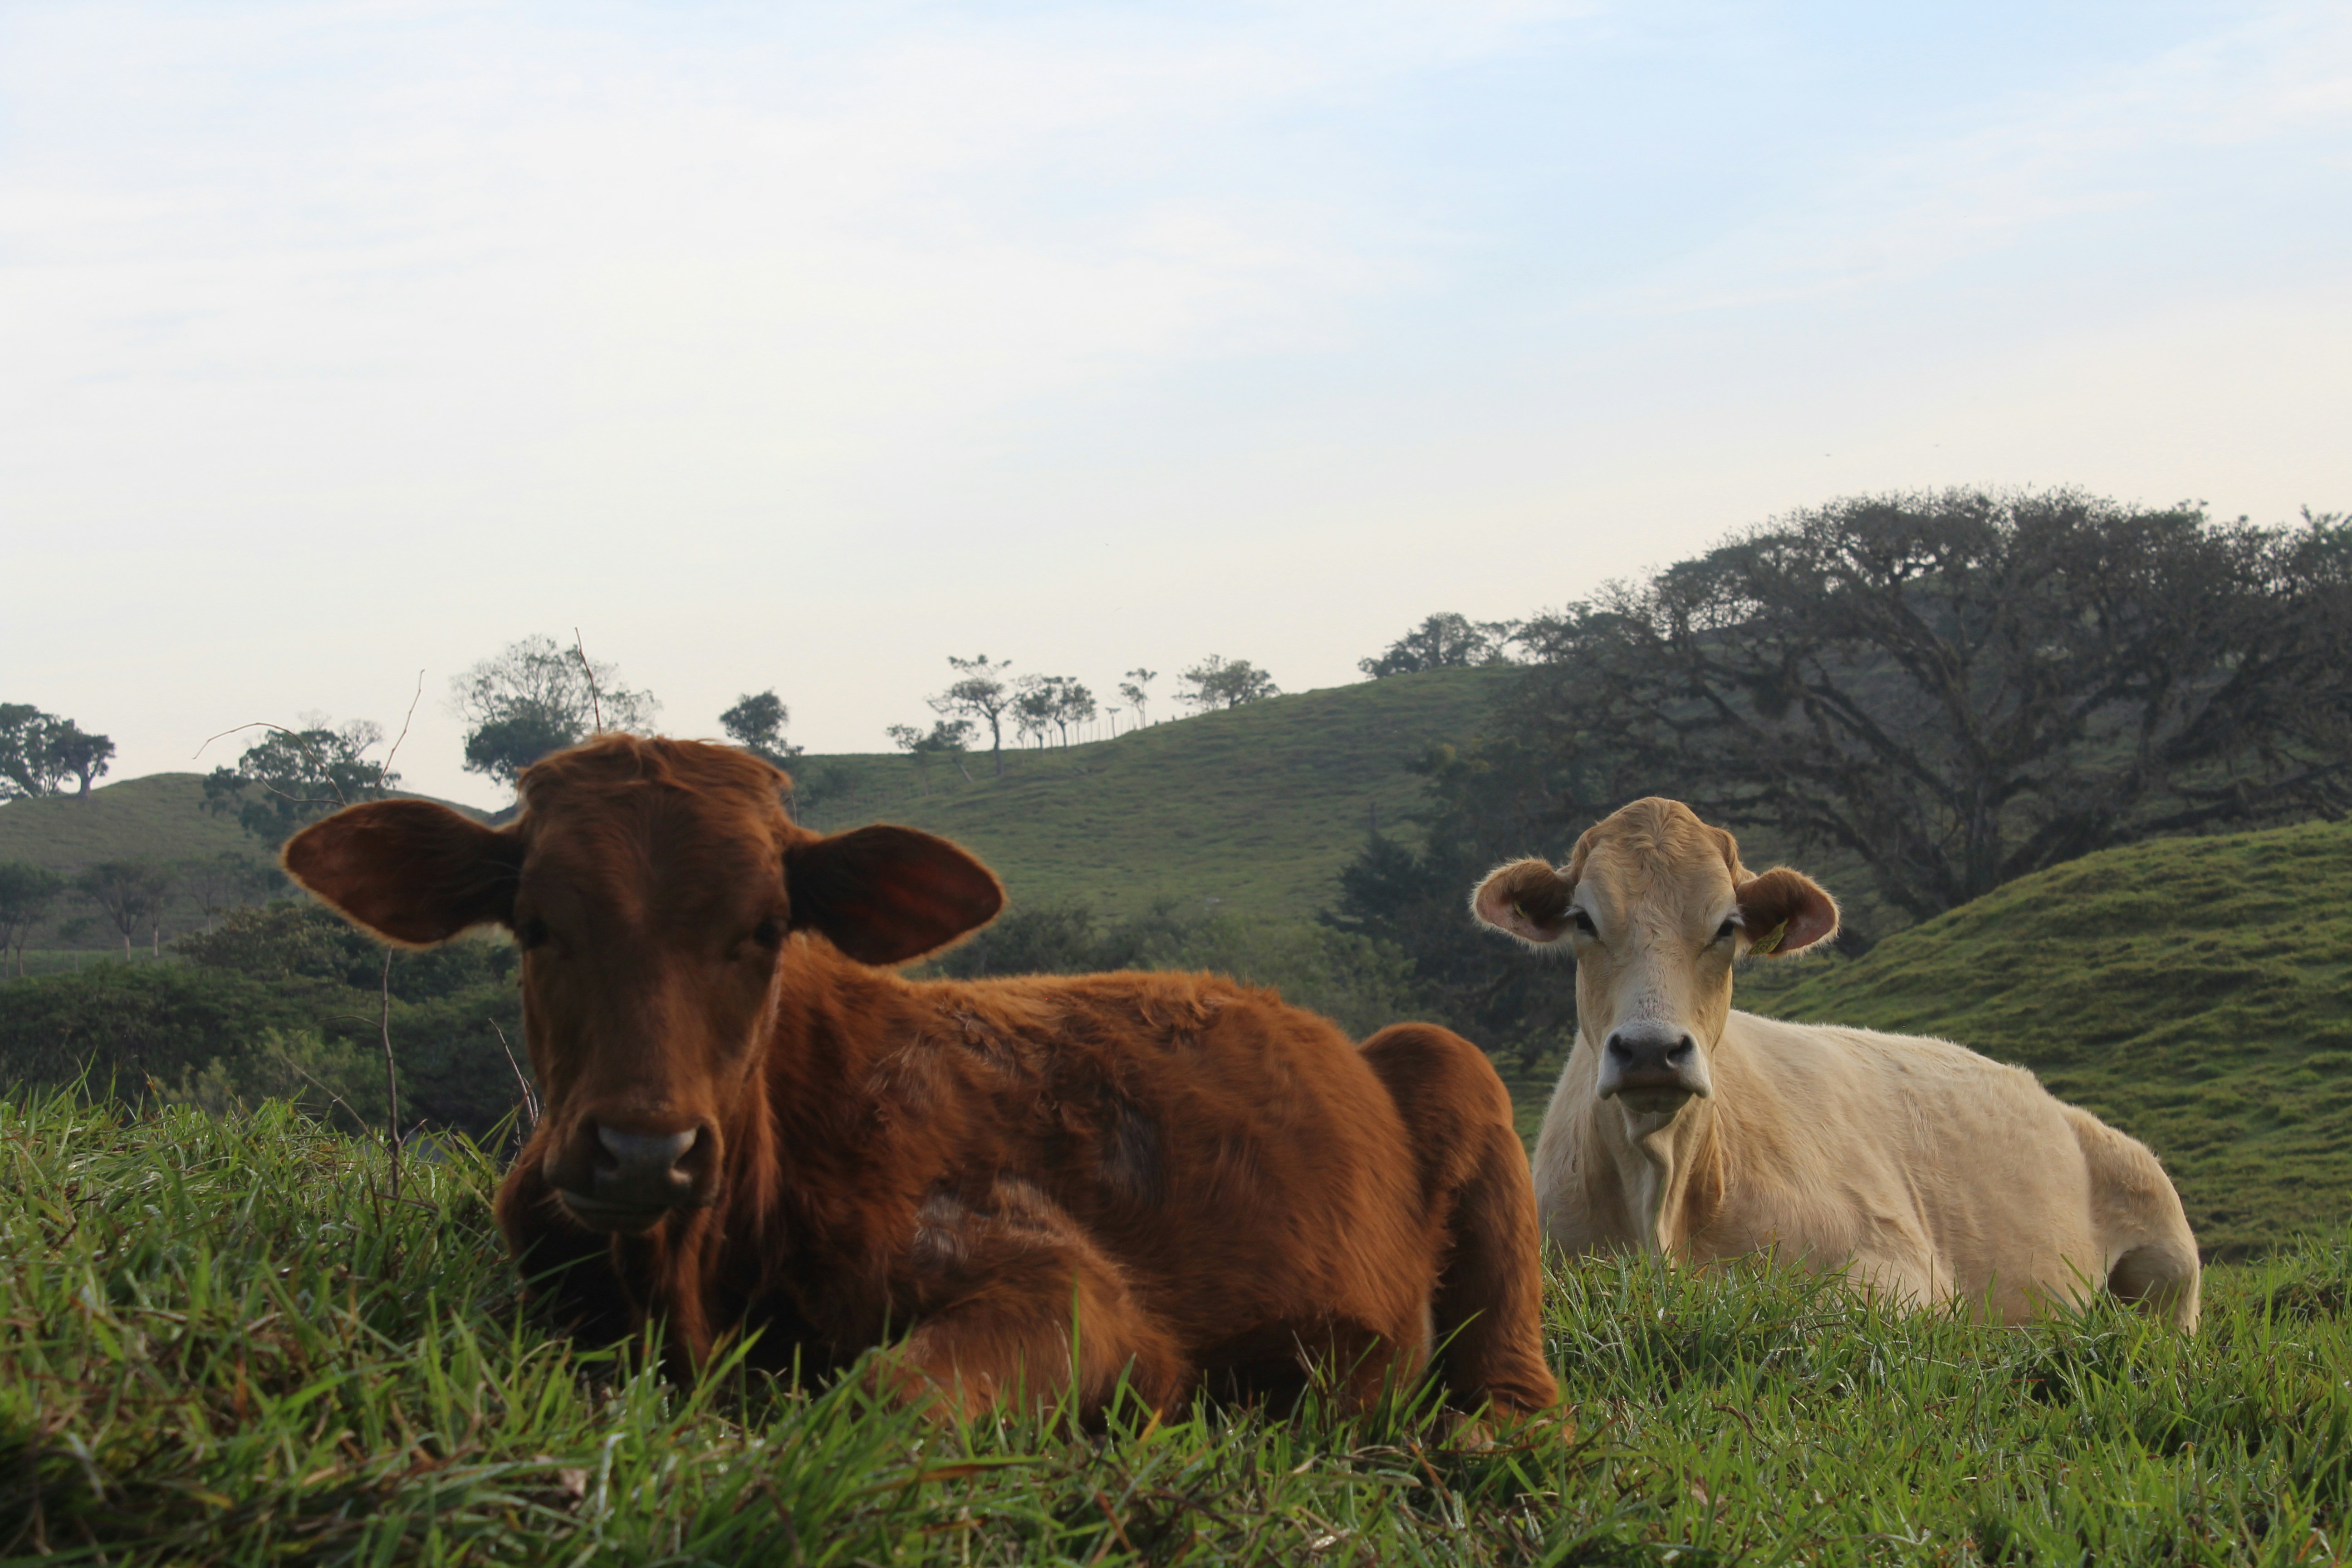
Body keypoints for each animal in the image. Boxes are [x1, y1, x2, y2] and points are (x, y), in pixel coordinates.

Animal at [283, 735, 1559, 1421]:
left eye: (767, 928)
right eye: (537, 923)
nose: (645, 1149)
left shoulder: (1074, 1291)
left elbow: (882, 1391)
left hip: (1455, 1068)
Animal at [1470, 797, 2200, 1330]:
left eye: (1726, 927)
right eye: (1584, 920)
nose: (1652, 1049)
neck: (1663, 1198)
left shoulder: (1899, 1269)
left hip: (2170, 1257)